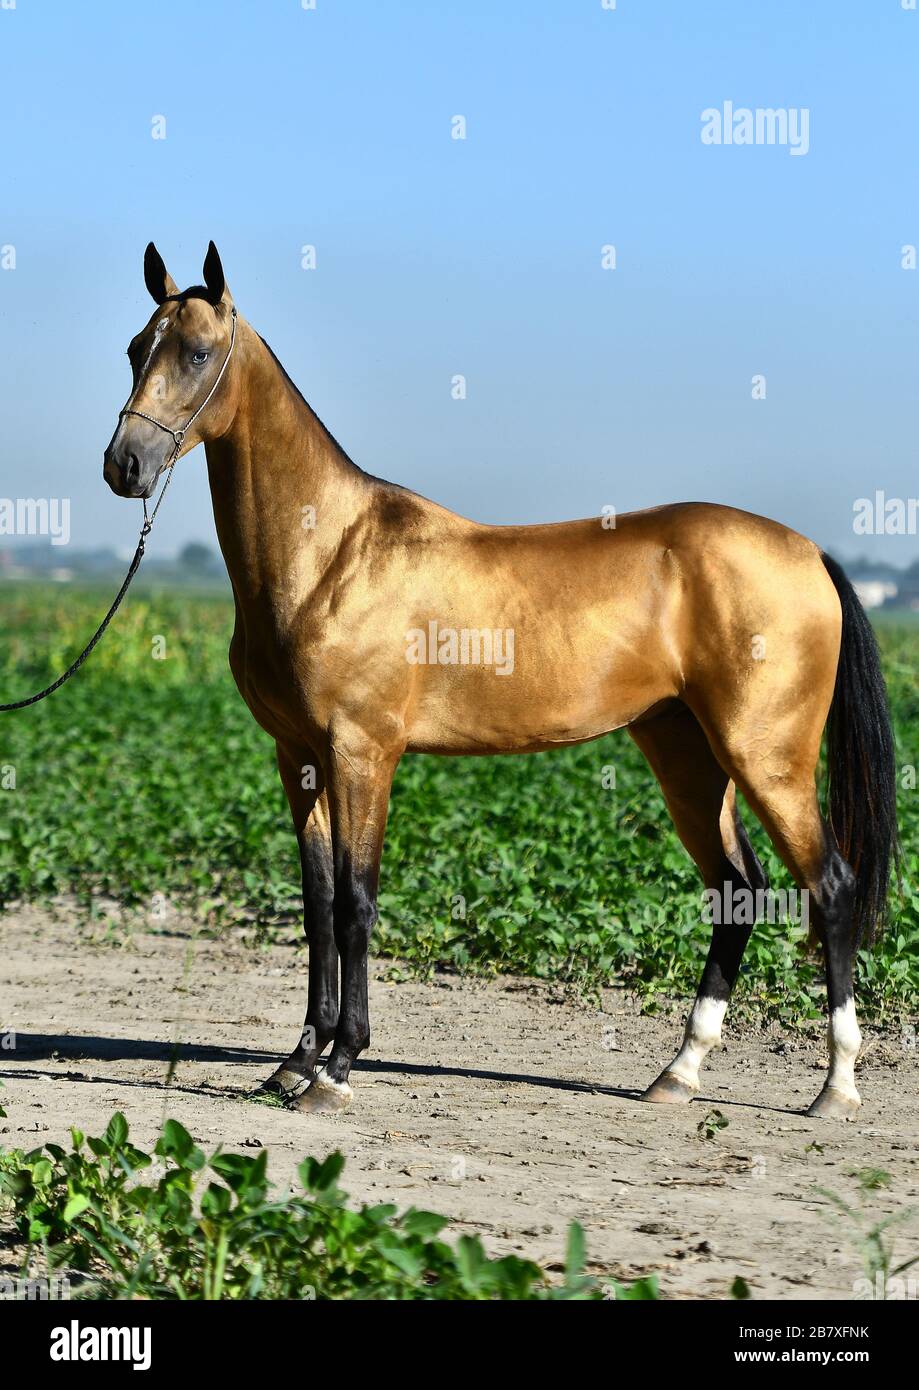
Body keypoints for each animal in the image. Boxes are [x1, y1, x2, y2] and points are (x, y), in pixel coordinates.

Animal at [103, 242, 898, 1121]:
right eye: (136, 349)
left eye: (197, 353)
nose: (125, 464)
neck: (332, 554)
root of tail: (808, 553)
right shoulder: (298, 757)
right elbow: (315, 906)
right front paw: (293, 1063)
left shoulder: (362, 755)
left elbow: (354, 903)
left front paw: (337, 1069)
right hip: (687, 754)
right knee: (737, 889)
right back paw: (678, 1072)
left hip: (766, 759)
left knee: (828, 887)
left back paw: (835, 1085)